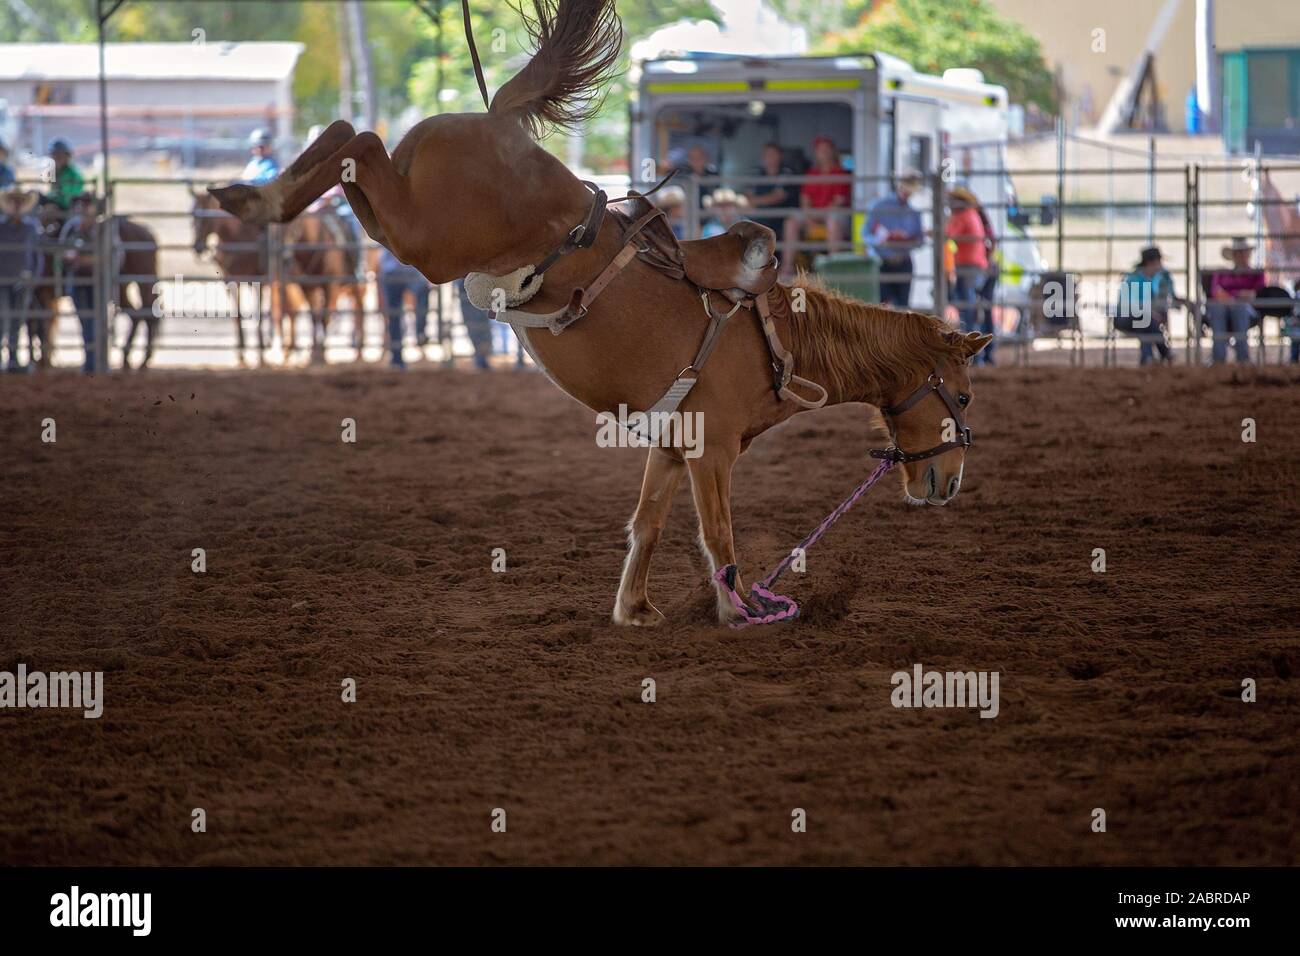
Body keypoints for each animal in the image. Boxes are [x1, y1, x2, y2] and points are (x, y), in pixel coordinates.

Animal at [210, 0, 991, 625]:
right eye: (962, 393)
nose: (950, 484)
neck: (775, 337)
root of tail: (501, 124)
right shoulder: (711, 447)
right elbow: (717, 534)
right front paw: (737, 611)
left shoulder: (670, 445)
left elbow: (646, 524)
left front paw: (635, 609)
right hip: (428, 241)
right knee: (358, 137)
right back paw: (260, 198)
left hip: (407, 227)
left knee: (350, 138)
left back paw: (252, 195)